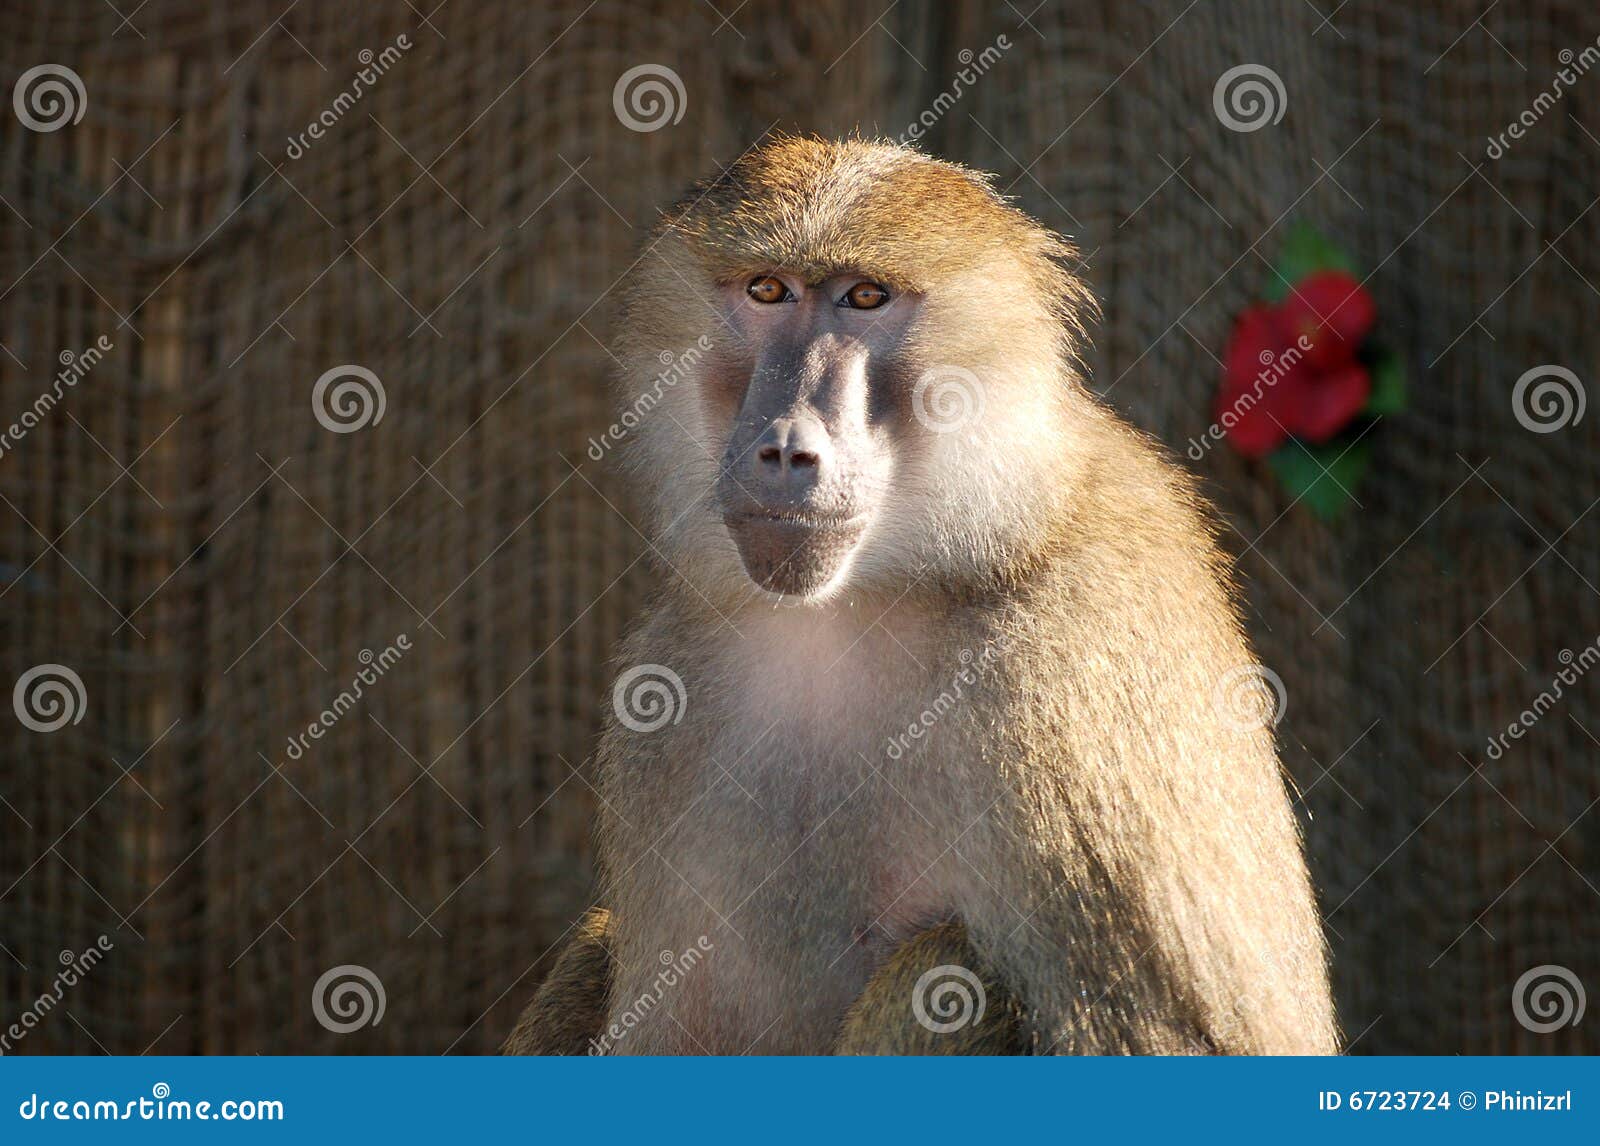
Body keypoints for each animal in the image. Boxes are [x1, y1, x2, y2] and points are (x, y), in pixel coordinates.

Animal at [505, 135, 1338, 1055]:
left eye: (866, 297)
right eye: (768, 290)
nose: (785, 449)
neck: (879, 593)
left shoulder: (1064, 683)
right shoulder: (671, 680)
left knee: (943, 968)